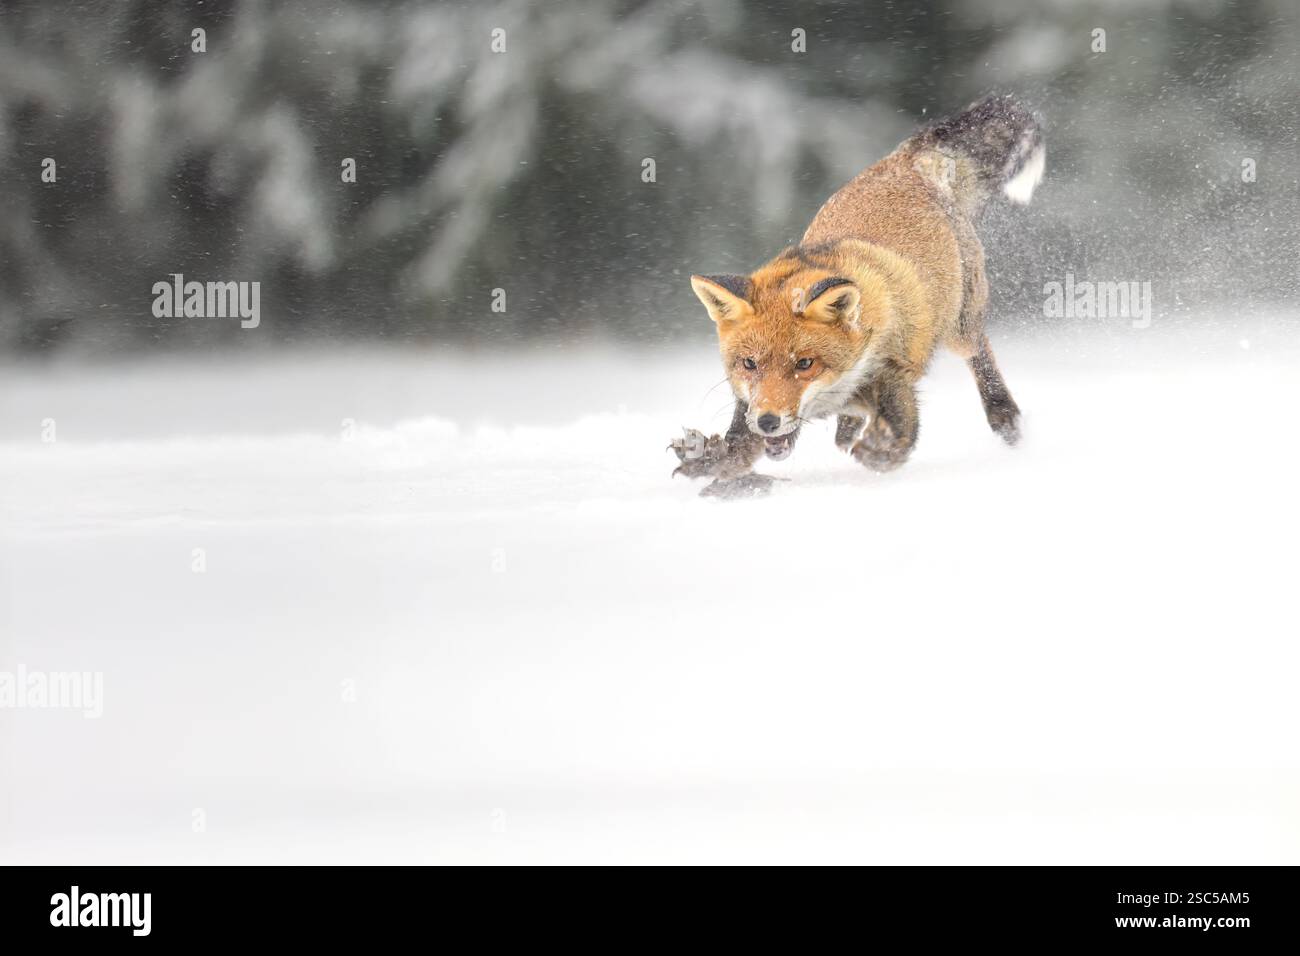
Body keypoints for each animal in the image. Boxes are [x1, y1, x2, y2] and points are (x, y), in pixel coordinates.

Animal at [670, 94, 1045, 496]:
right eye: (749, 364)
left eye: (805, 363)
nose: (770, 421)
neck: (841, 385)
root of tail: (902, 161)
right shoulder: (753, 402)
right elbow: (739, 442)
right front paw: (710, 460)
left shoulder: (895, 370)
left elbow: (904, 430)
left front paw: (883, 451)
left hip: (960, 326)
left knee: (979, 352)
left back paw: (1003, 415)